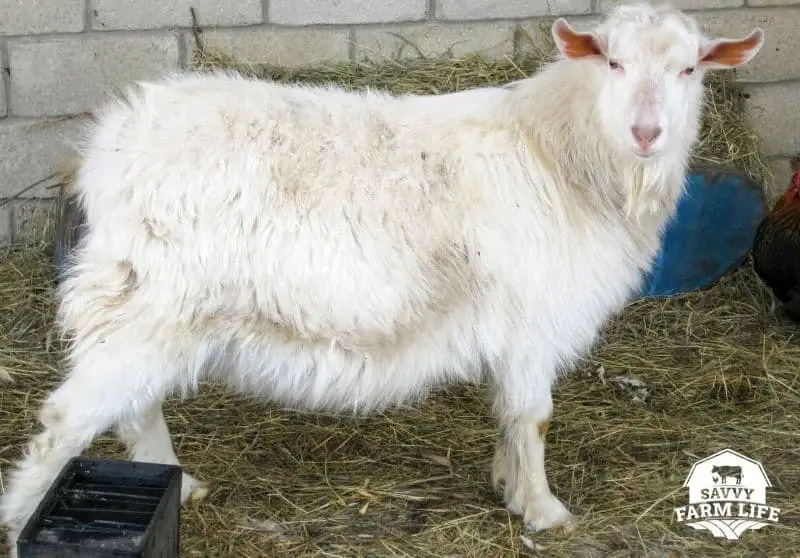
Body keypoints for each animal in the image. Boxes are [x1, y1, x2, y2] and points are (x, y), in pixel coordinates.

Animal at [0, 3, 763, 553]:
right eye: (611, 59)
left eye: (691, 69)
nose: (647, 133)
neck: (562, 153)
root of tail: (108, 144)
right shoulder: (533, 319)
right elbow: (534, 417)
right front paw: (545, 510)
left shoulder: (511, 326)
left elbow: (508, 414)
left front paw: (508, 485)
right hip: (144, 302)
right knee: (66, 421)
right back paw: (21, 519)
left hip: (152, 311)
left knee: (135, 405)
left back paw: (178, 485)